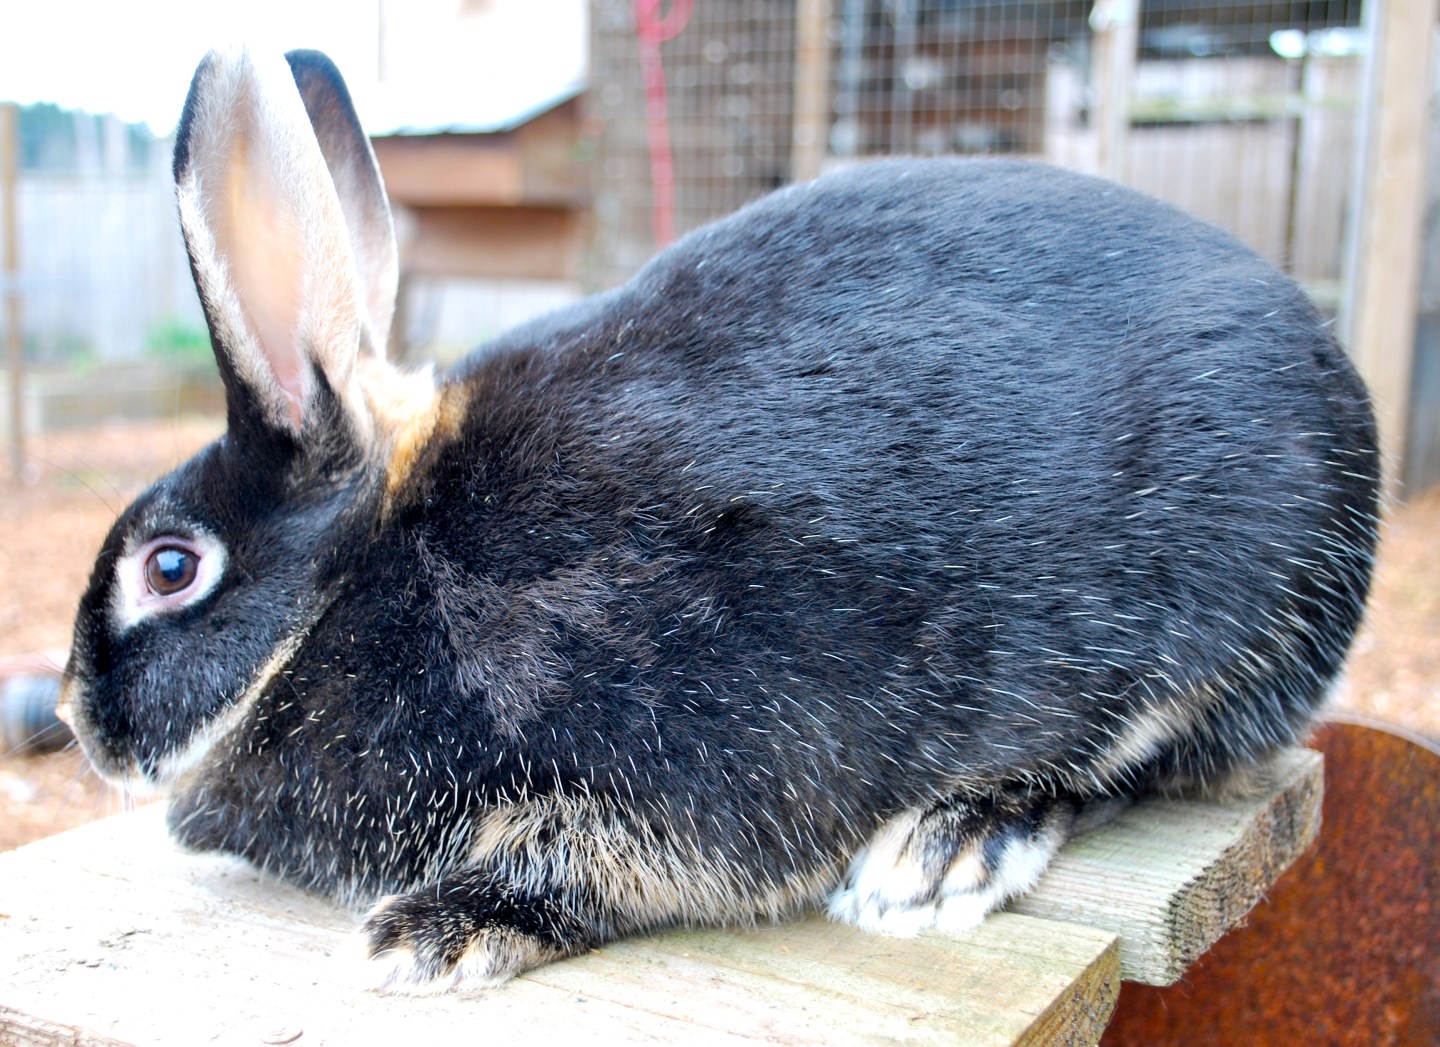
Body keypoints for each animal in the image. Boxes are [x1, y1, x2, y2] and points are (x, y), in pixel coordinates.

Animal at [57, 46, 1379, 993]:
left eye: (170, 567)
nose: (73, 717)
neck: (364, 572)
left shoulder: (696, 730)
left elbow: (605, 861)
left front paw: (436, 934)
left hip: (1224, 616)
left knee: (1136, 763)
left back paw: (949, 847)